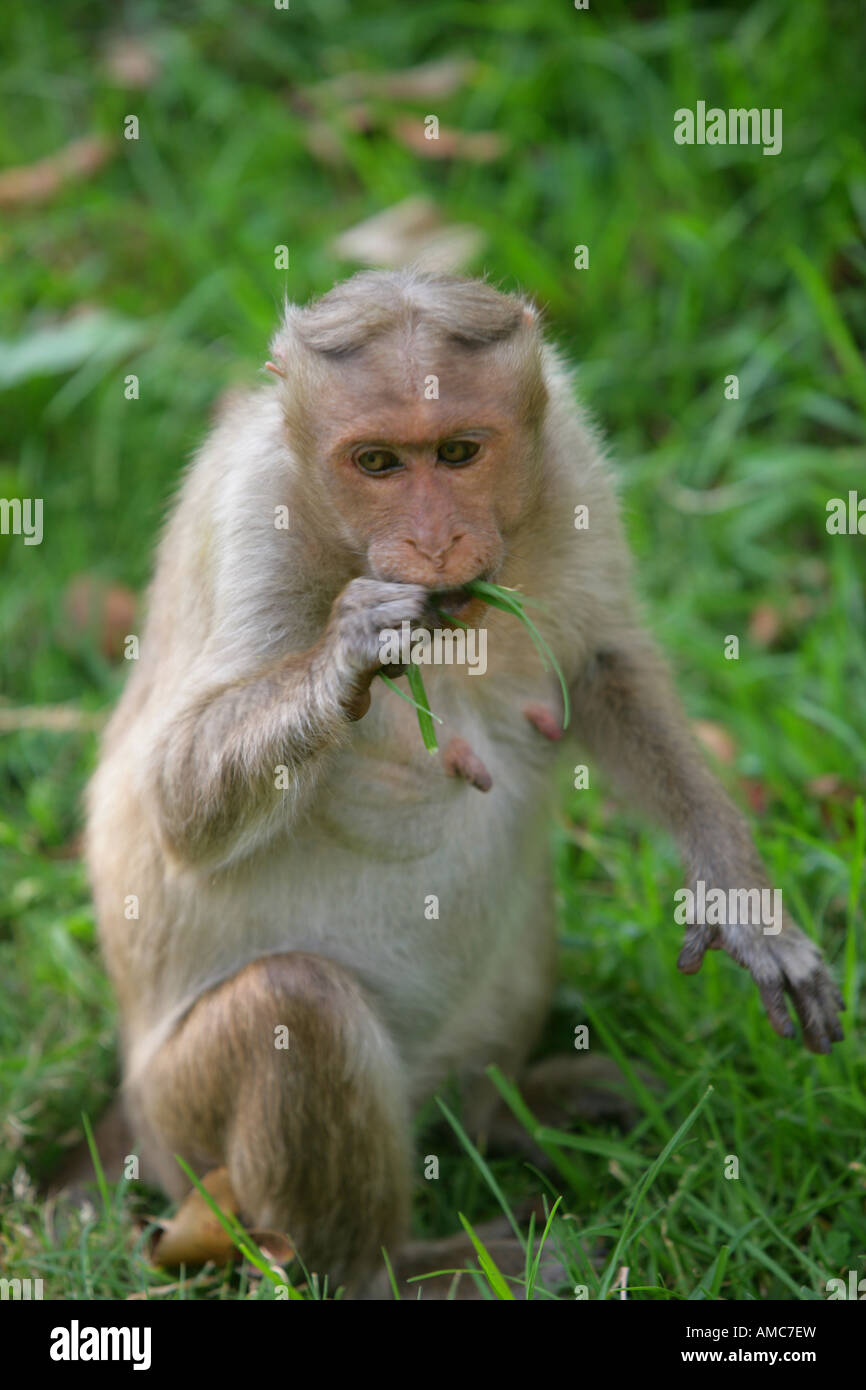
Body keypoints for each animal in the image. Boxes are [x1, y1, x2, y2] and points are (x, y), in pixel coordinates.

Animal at [84, 268, 844, 1297]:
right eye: (376, 463)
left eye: (457, 452)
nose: (437, 539)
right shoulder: (251, 520)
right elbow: (173, 801)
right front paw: (353, 649)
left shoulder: (569, 460)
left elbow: (602, 665)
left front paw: (740, 895)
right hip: (190, 1143)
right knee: (295, 1003)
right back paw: (407, 1269)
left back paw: (525, 1110)